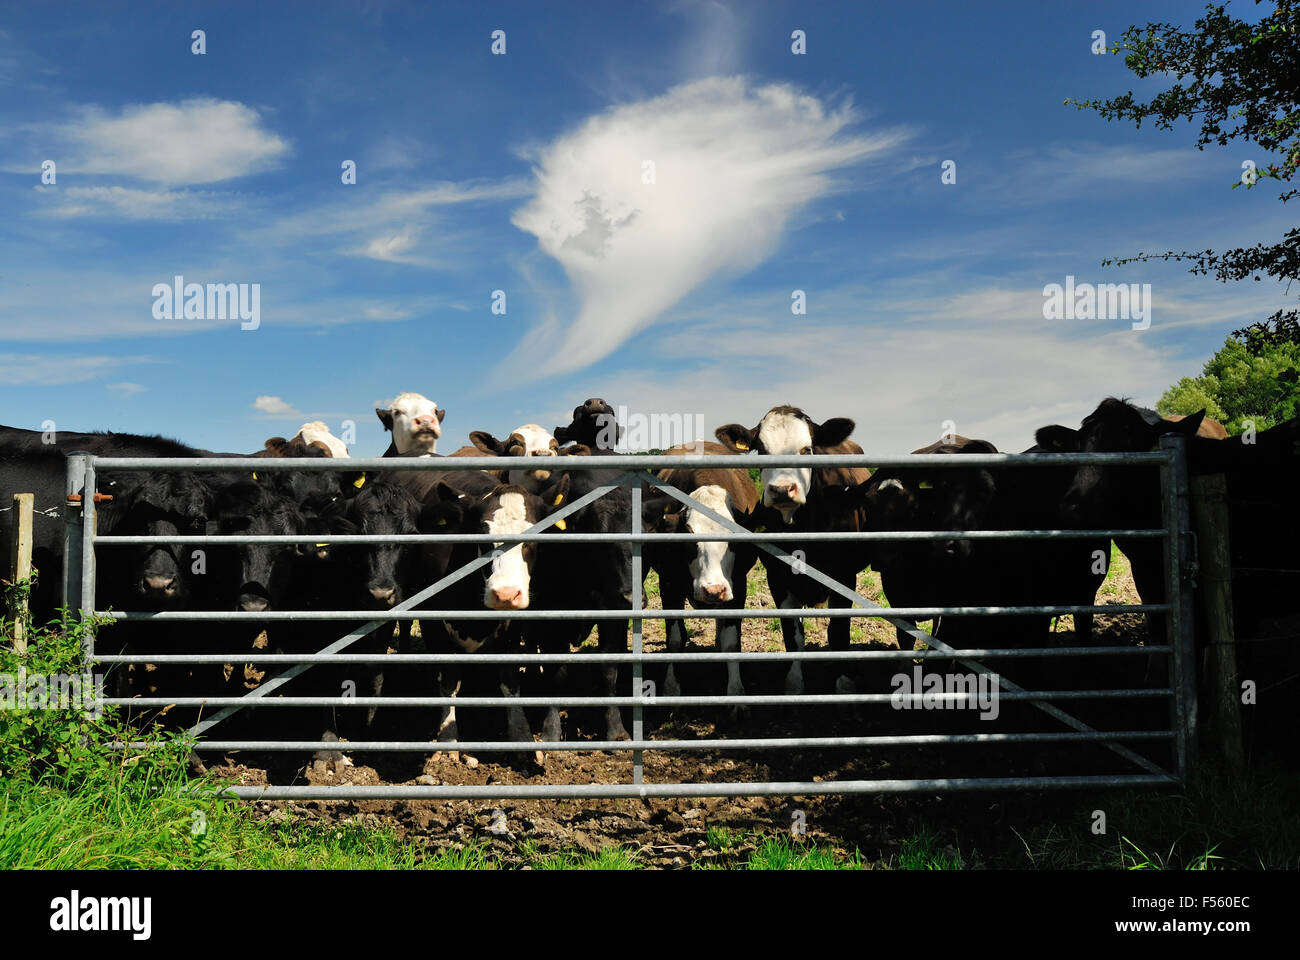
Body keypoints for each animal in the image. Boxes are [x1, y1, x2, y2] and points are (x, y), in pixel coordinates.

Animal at [645, 442, 760, 720]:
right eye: (689, 539)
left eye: (734, 540)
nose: (713, 590)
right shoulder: (669, 585)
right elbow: (674, 639)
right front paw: (671, 691)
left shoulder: (738, 585)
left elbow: (731, 642)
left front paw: (736, 696)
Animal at [714, 407, 871, 696]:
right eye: (761, 450)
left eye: (807, 449)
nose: (782, 489)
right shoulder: (777, 578)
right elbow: (793, 635)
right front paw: (795, 684)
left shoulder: (844, 576)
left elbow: (839, 632)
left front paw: (844, 683)